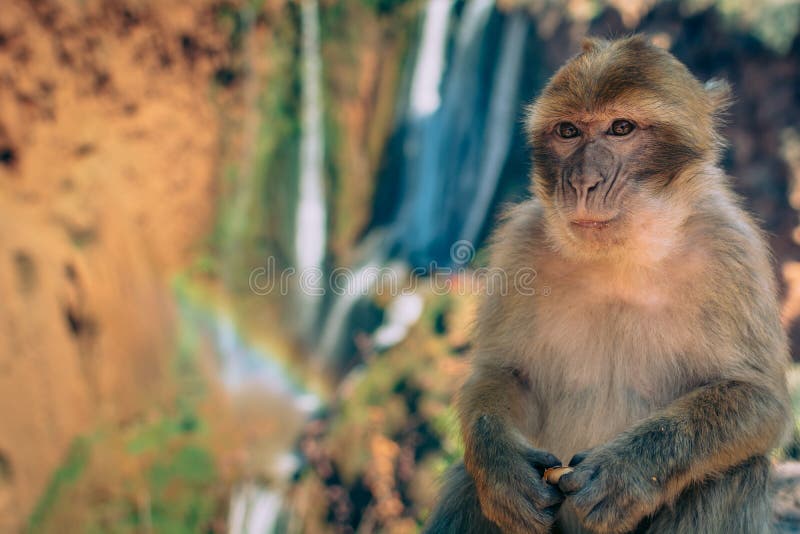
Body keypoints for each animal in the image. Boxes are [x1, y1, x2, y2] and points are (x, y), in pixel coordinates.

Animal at [424, 35, 793, 534]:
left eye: (621, 128)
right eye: (567, 132)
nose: (582, 181)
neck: (623, 256)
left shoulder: (730, 250)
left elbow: (758, 397)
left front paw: (627, 473)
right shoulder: (520, 243)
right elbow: (505, 373)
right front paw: (503, 469)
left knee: (733, 474)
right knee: (468, 480)